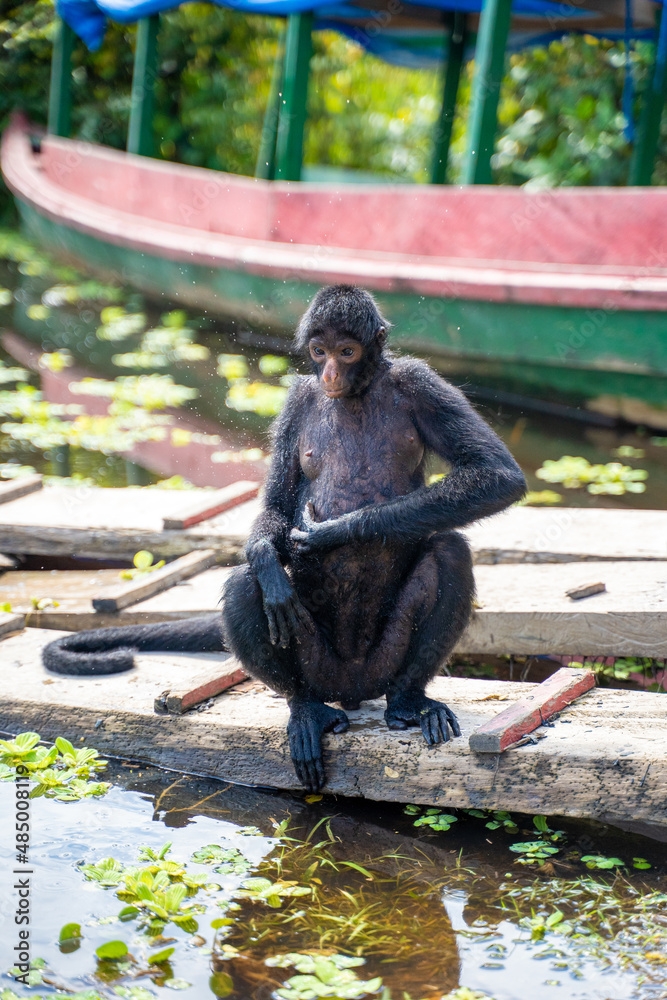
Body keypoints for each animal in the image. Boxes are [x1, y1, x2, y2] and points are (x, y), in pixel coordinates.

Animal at [43, 285, 526, 791]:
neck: (358, 391)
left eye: (347, 351)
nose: (330, 372)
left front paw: (333, 532)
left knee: (450, 550)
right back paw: (305, 706)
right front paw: (270, 563)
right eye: (319, 351)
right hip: (319, 669)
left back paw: (408, 700)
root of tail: (353, 689)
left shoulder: (419, 380)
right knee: (245, 585)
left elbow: (497, 475)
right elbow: (274, 511)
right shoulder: (298, 398)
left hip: (385, 661)